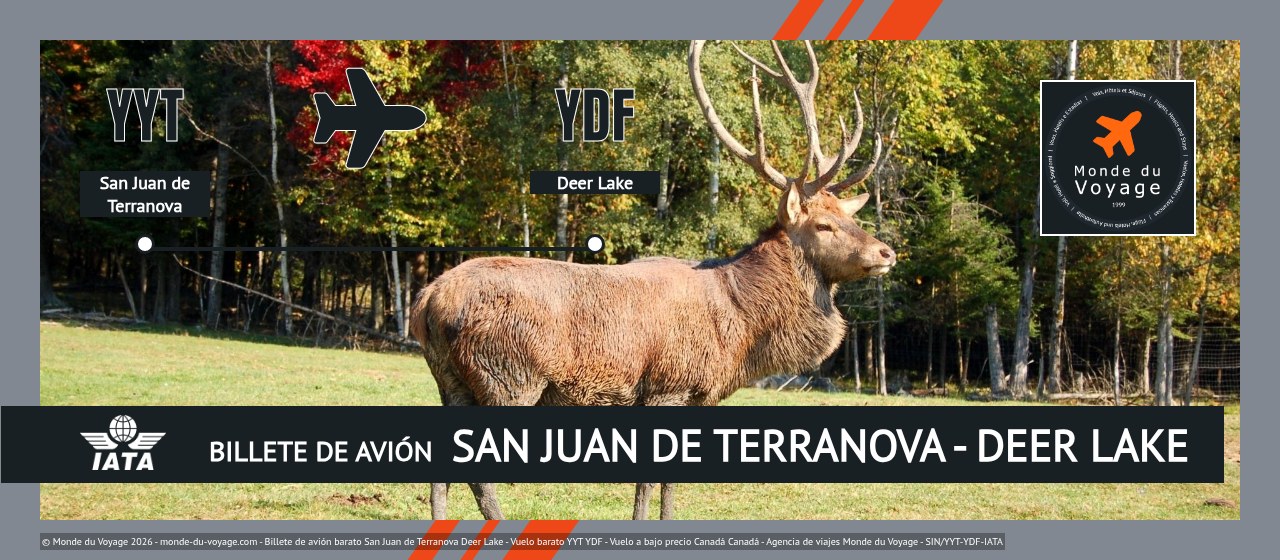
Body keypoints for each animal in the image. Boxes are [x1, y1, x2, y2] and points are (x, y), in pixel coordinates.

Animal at [409, 39, 894, 521]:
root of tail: (427, 301)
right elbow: (648, 481)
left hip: (451, 381)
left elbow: (670, 481)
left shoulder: (693, 397)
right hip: (509, 376)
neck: (739, 328)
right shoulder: (667, 385)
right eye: (824, 226)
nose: (886, 252)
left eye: (849, 217)